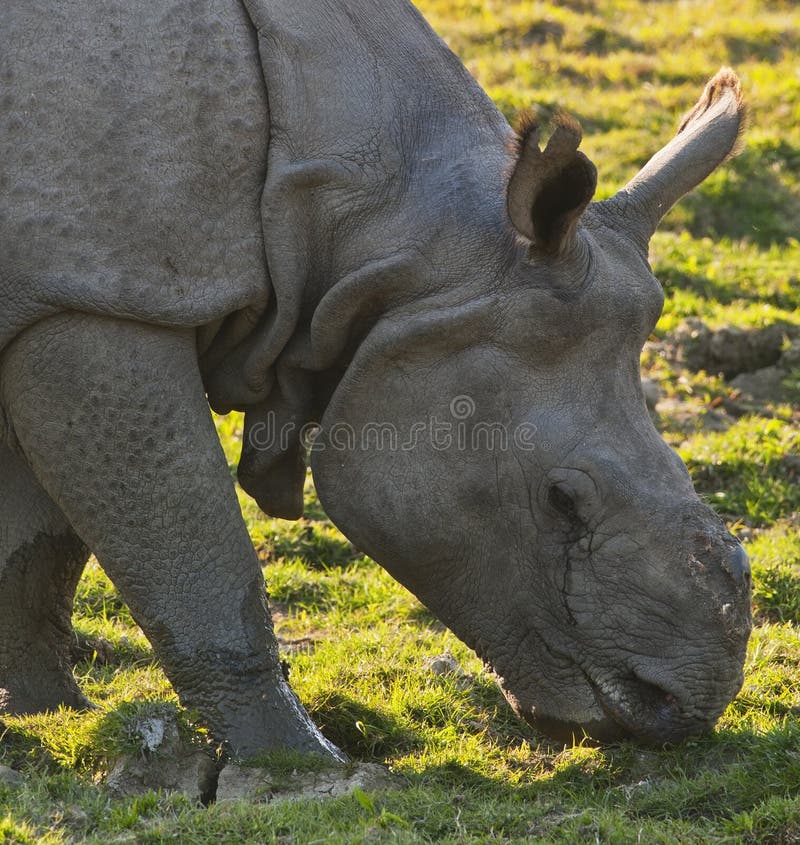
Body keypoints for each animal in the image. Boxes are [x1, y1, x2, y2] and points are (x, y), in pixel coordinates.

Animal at [0, 0, 751, 759]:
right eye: (561, 502)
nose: (681, 706)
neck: (389, 245)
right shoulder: (102, 299)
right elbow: (197, 555)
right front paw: (299, 760)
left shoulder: (58, 291)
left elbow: (37, 546)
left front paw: (47, 712)